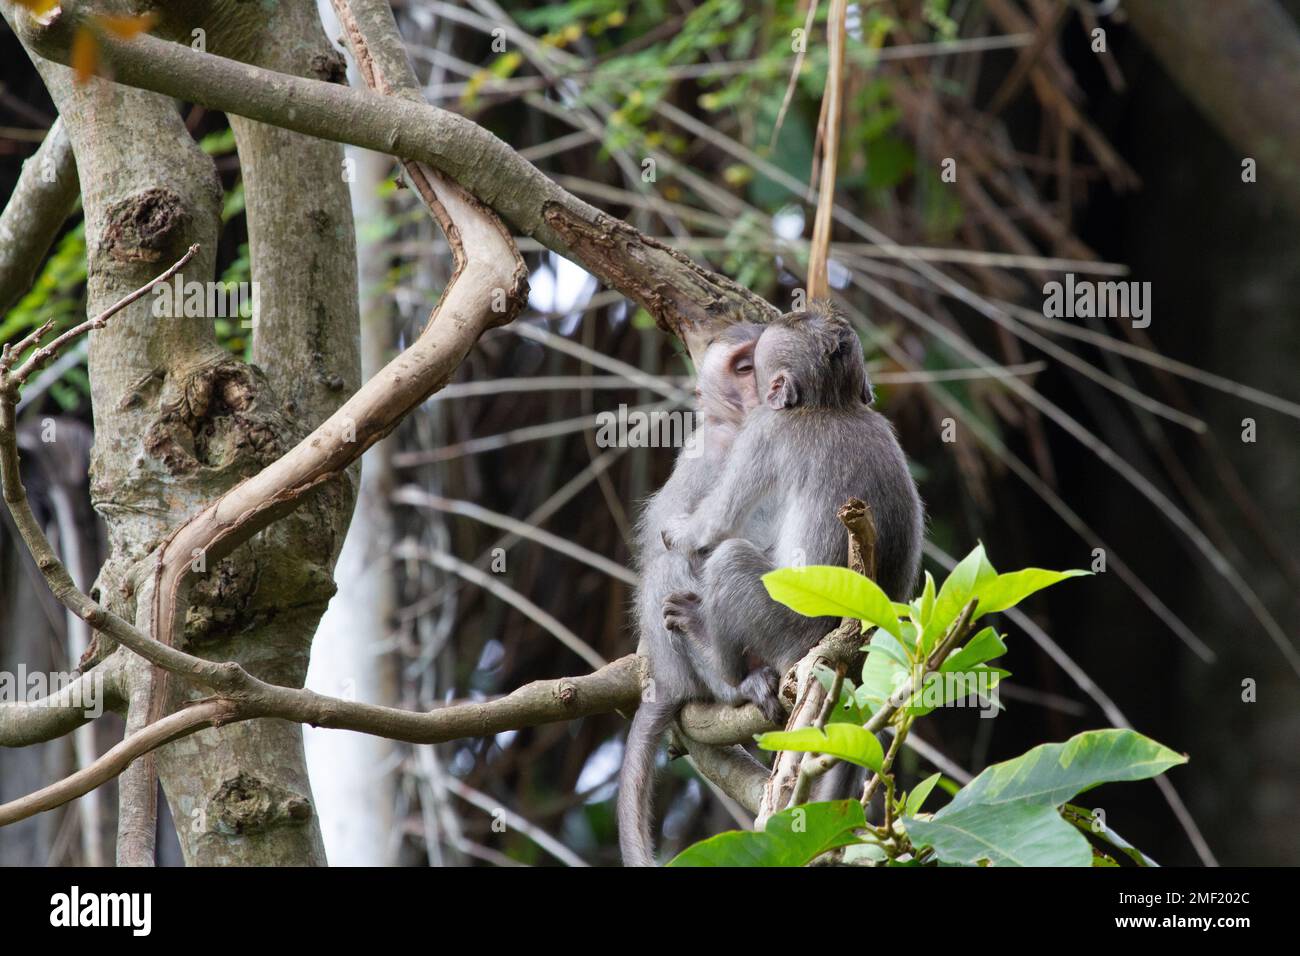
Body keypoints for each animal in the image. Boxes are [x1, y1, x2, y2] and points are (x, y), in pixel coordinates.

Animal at [618, 322, 781, 868]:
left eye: (760, 360)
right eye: (743, 367)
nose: (765, 388)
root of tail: (667, 680)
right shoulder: (710, 454)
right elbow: (677, 542)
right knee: (672, 568)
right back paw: (732, 681)